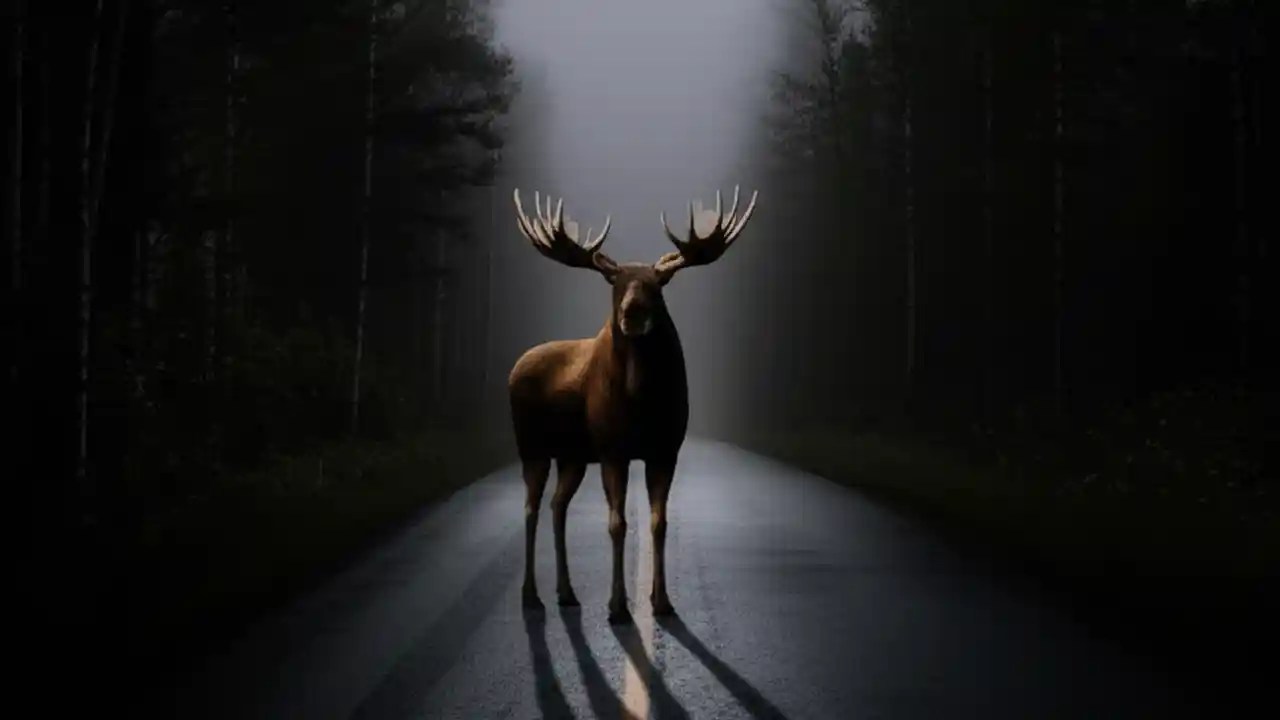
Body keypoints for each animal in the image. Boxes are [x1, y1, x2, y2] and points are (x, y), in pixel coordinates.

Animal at [508, 185, 758, 624]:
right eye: (615, 283)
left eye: (657, 286)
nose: (633, 313)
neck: (643, 402)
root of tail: (514, 366)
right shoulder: (613, 449)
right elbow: (618, 522)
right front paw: (617, 606)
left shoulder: (665, 450)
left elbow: (659, 522)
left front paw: (663, 602)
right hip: (531, 446)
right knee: (531, 507)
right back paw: (531, 595)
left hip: (572, 456)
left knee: (557, 505)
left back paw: (566, 593)